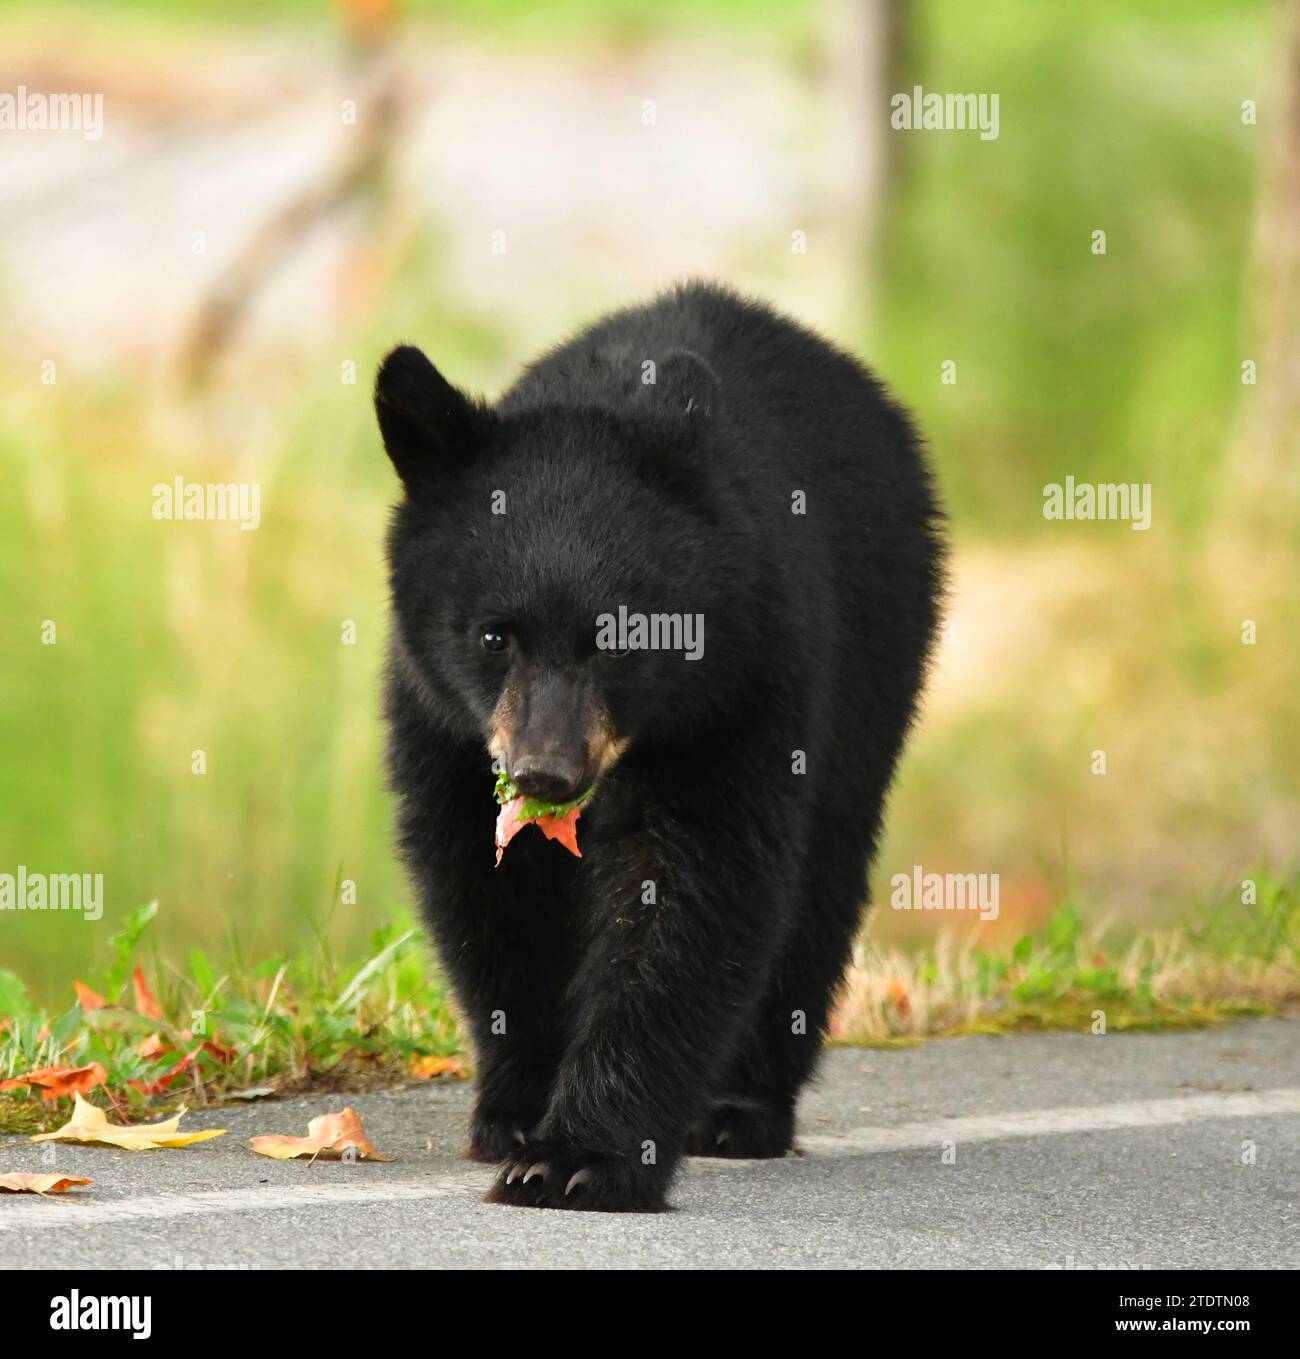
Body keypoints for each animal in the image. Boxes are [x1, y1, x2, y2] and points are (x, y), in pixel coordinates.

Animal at [375, 281, 943, 1212]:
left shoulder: (747, 681)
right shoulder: (444, 722)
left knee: (822, 876)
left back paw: (742, 1110)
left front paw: (581, 1155)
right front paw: (516, 1112)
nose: (547, 772)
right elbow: (482, 883)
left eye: (618, 638)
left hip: (880, 651)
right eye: (495, 635)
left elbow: (691, 888)